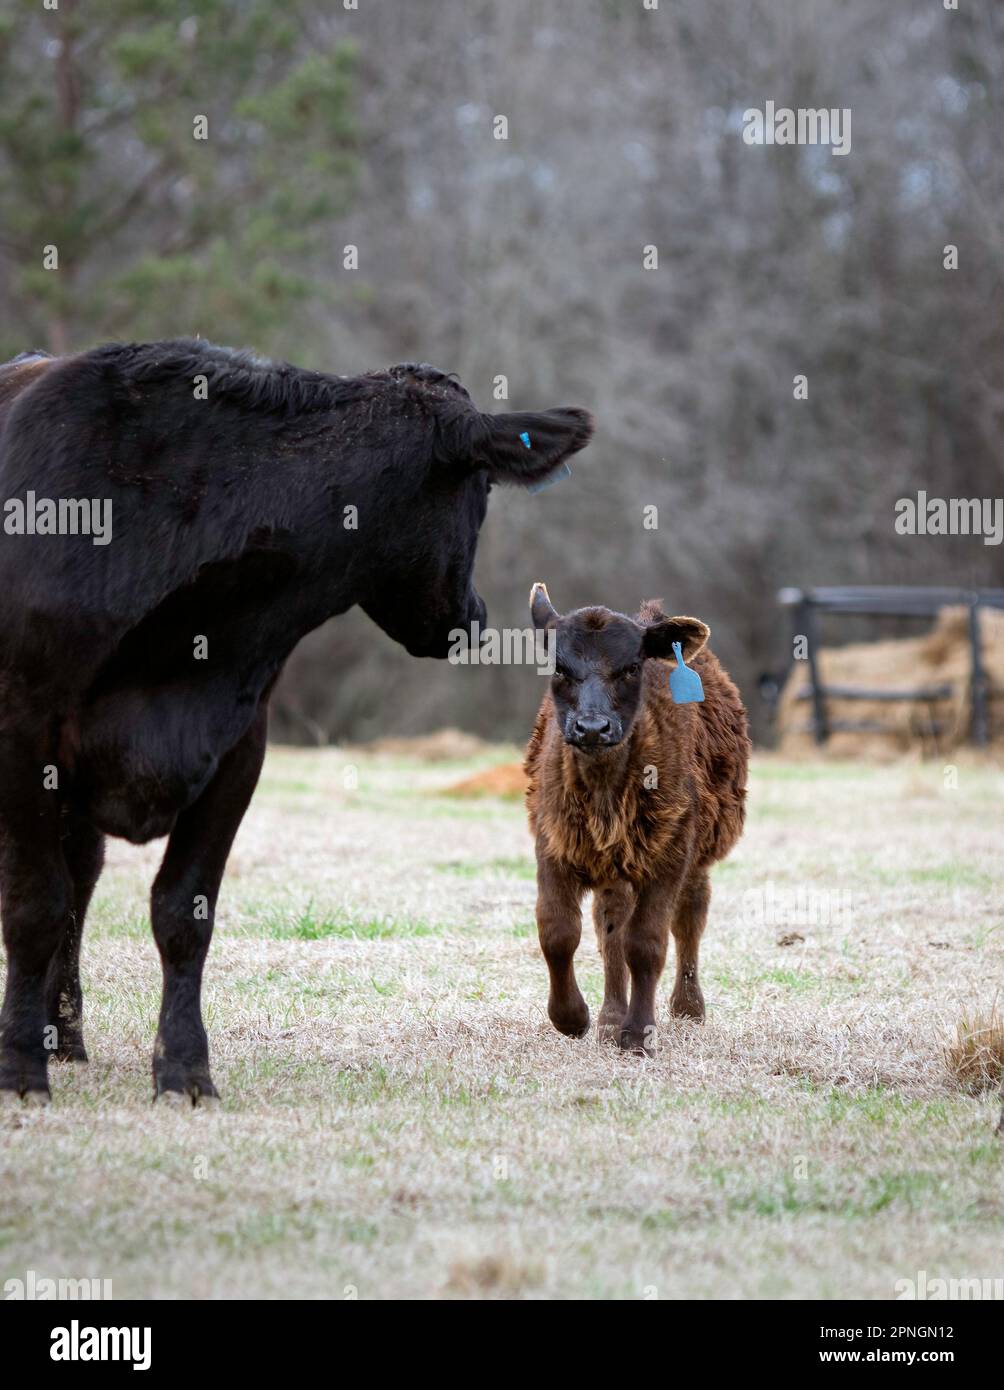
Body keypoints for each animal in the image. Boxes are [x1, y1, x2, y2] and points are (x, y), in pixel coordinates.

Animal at [0, 340, 593, 1106]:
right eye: (483, 488)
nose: (476, 615)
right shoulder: (24, 726)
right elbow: (33, 905)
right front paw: (20, 1071)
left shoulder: (239, 742)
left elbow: (181, 912)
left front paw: (185, 1070)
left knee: (84, 872)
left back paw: (66, 1036)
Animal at [523, 584, 749, 1055]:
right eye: (559, 667)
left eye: (630, 668)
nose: (592, 728)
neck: (605, 790)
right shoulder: (553, 847)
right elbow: (558, 931)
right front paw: (572, 1017)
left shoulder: (669, 858)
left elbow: (646, 943)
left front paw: (640, 1034)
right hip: (615, 871)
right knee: (609, 926)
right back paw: (610, 1017)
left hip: (696, 859)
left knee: (689, 919)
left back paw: (687, 1007)